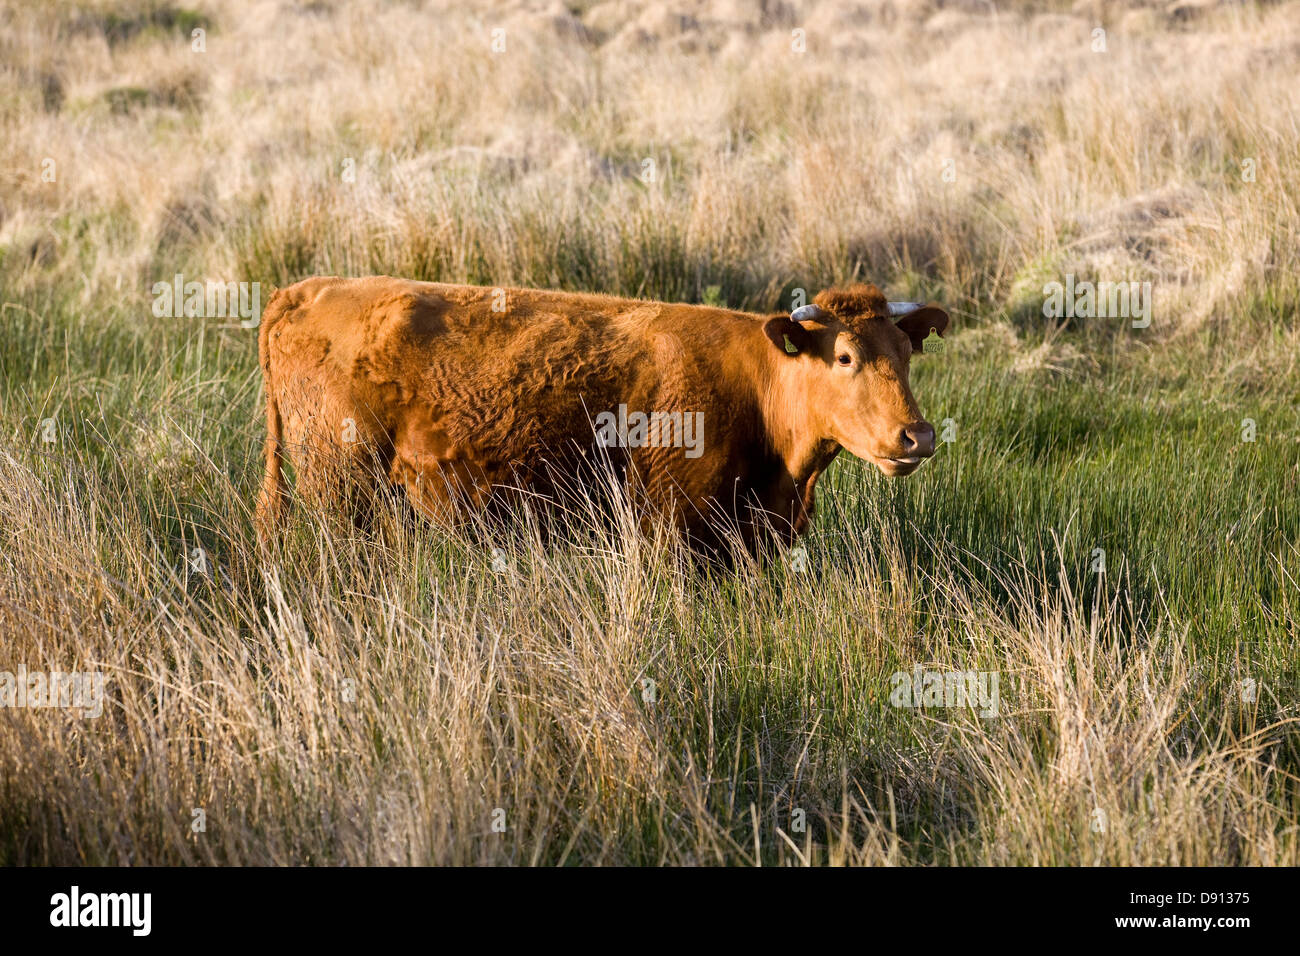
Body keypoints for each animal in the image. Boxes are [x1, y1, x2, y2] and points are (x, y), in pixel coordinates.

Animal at [255, 277, 949, 556]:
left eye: (905, 353)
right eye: (844, 356)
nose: (917, 435)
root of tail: (305, 289)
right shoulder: (671, 530)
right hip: (341, 491)